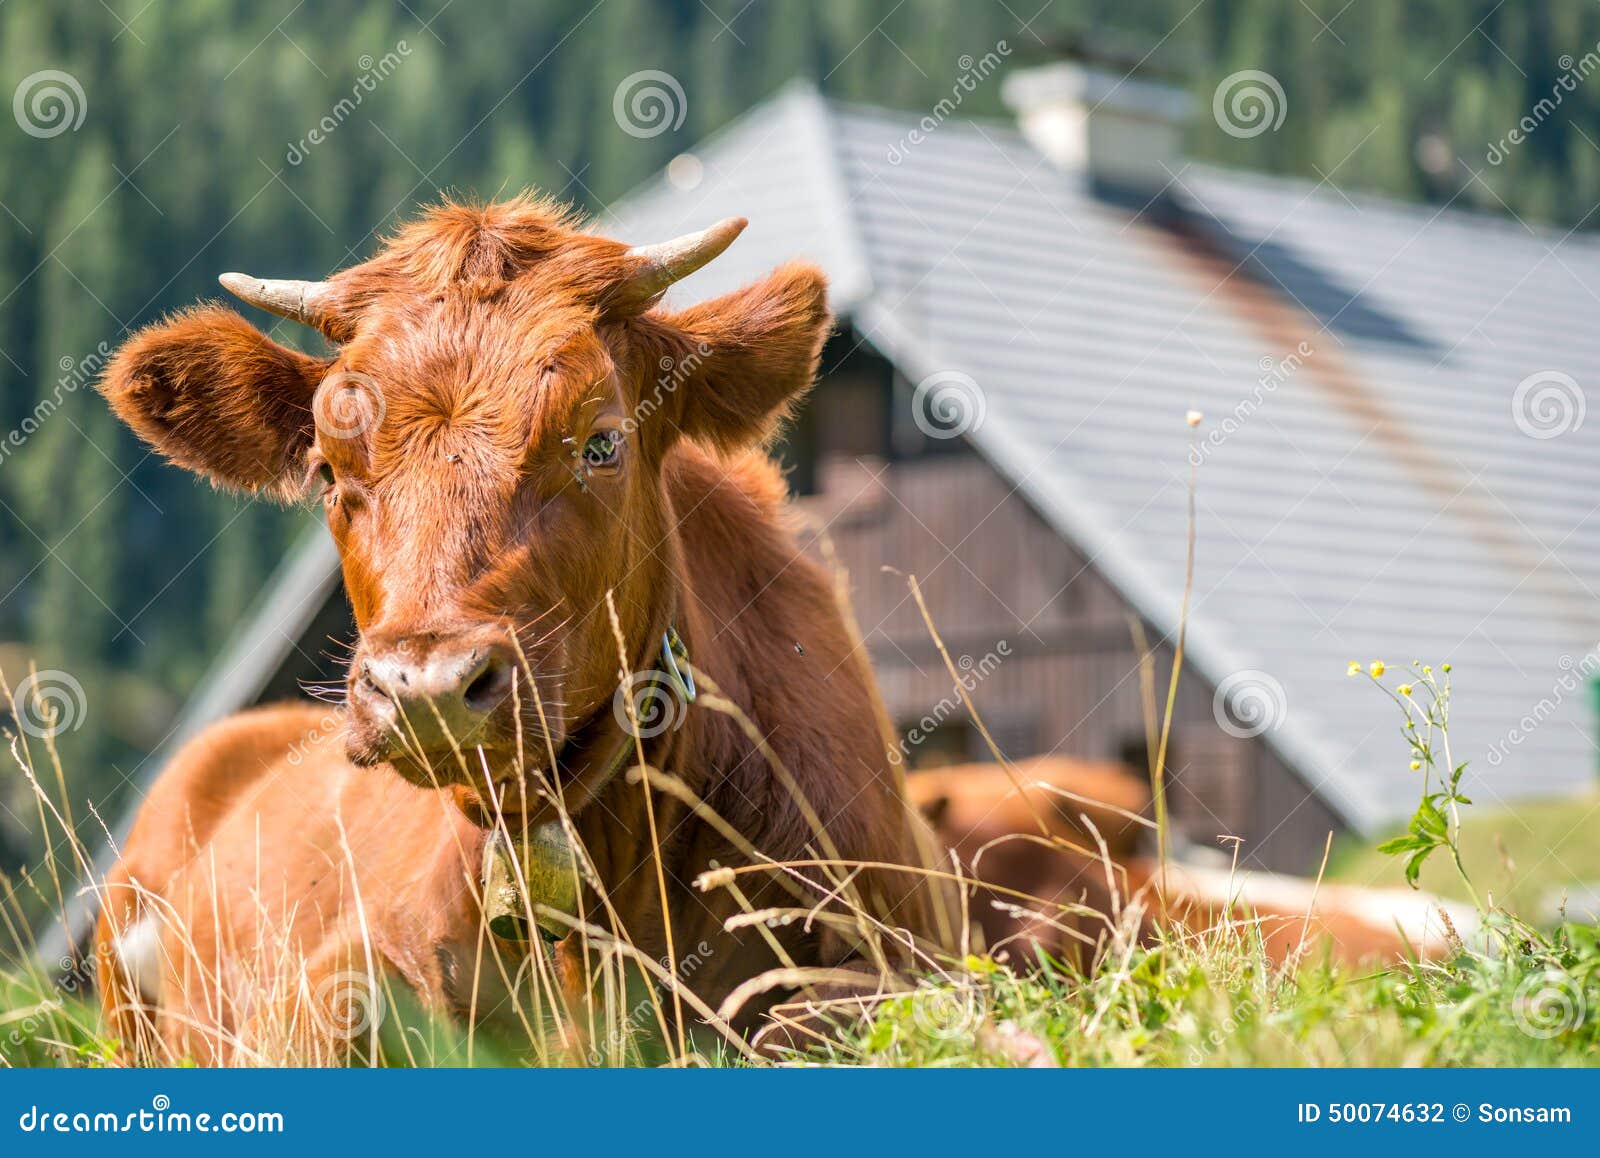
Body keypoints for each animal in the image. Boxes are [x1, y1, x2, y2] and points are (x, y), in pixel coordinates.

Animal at [94, 195, 942, 1064]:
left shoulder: (901, 950)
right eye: (328, 469)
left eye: (601, 443)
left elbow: (798, 1020)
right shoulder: (321, 981)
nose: (426, 687)